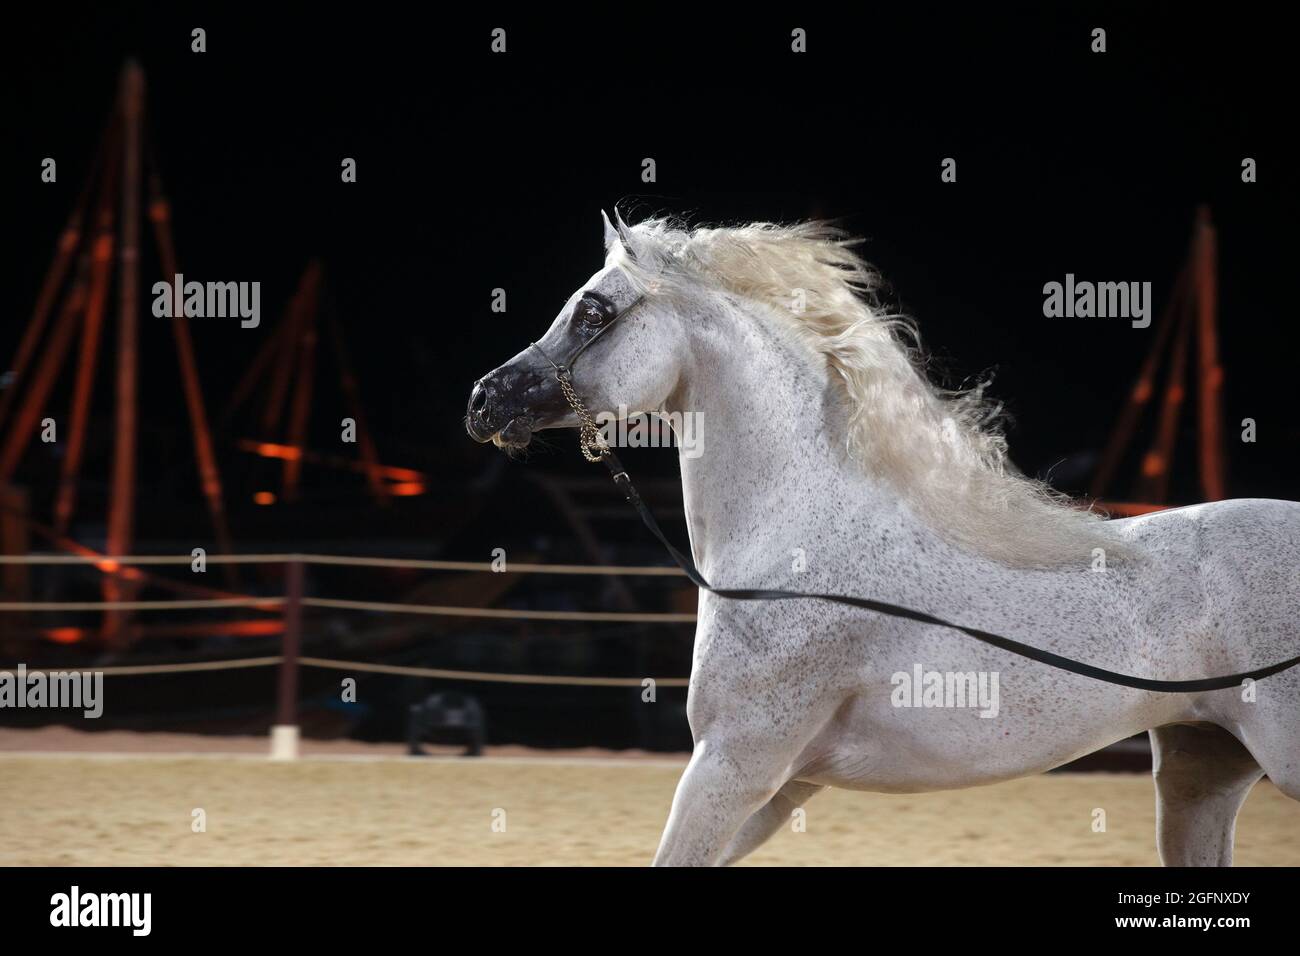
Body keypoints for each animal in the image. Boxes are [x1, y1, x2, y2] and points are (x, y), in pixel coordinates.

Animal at [465, 210, 1300, 866]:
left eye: (593, 310)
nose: (483, 401)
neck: (793, 546)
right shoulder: (780, 782)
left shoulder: (736, 763)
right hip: (1200, 771)